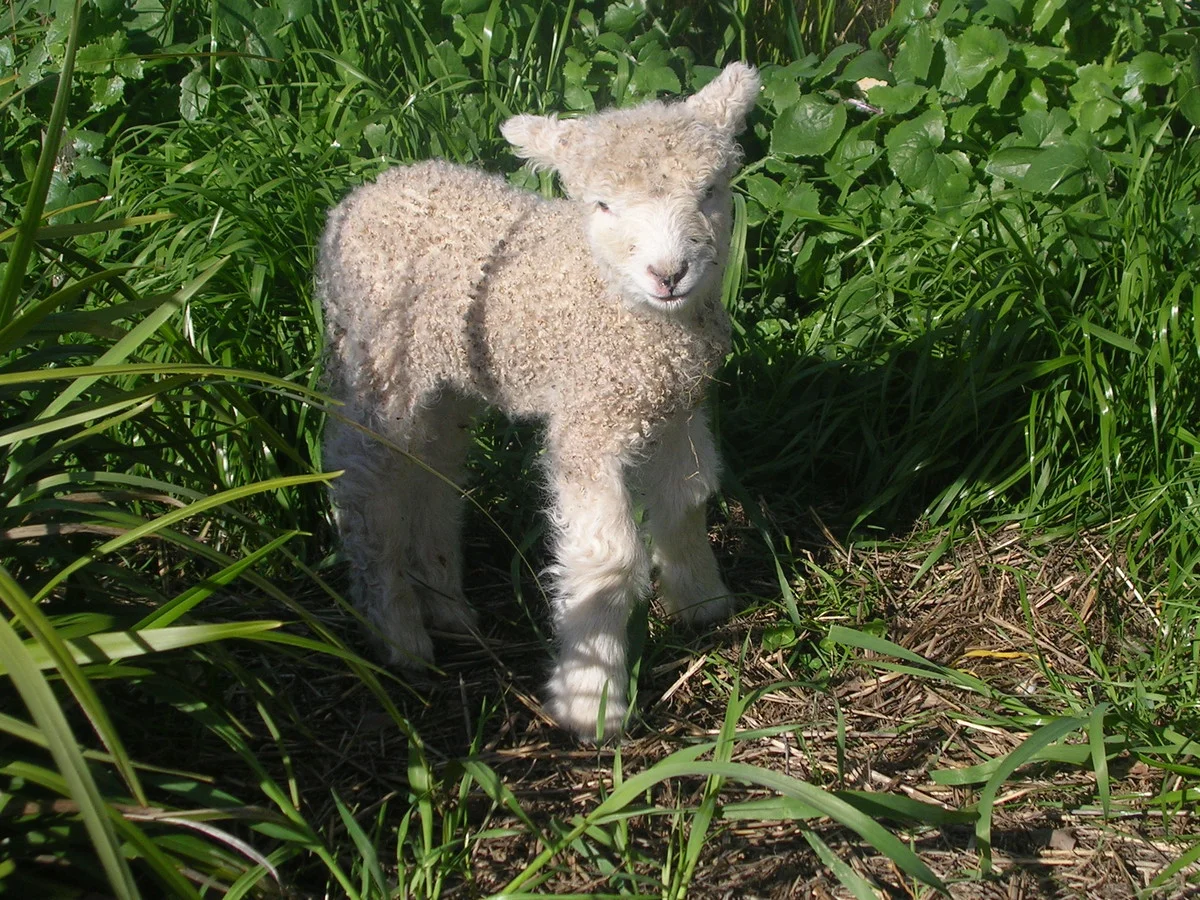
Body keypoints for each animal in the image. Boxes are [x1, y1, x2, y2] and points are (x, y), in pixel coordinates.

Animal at [318, 62, 760, 740]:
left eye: (711, 189)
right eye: (602, 204)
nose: (669, 274)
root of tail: (366, 192)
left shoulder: (675, 405)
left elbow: (688, 497)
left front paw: (701, 600)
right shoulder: (587, 424)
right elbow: (606, 560)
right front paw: (590, 701)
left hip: (443, 384)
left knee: (433, 473)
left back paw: (446, 603)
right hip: (377, 367)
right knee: (366, 490)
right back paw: (399, 634)